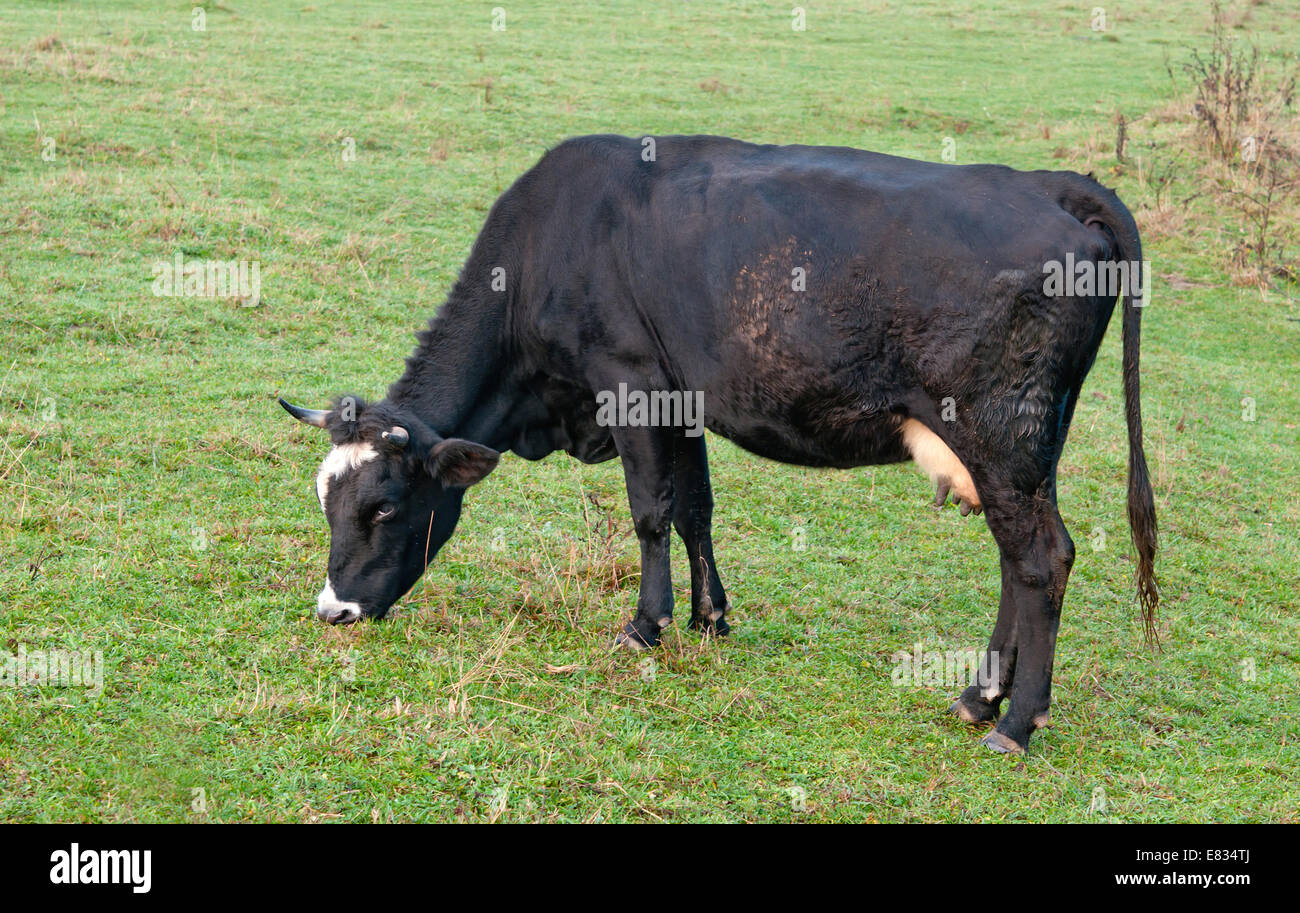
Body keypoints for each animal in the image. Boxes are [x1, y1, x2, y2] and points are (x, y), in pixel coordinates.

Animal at [280, 134, 1157, 754]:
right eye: (327, 500)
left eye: (384, 507)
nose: (333, 610)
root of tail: (1045, 183)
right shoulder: (682, 400)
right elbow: (695, 508)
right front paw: (710, 617)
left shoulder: (629, 382)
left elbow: (648, 510)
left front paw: (645, 626)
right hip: (1027, 449)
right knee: (1020, 561)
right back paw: (981, 698)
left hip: (999, 436)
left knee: (1042, 559)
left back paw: (1016, 723)